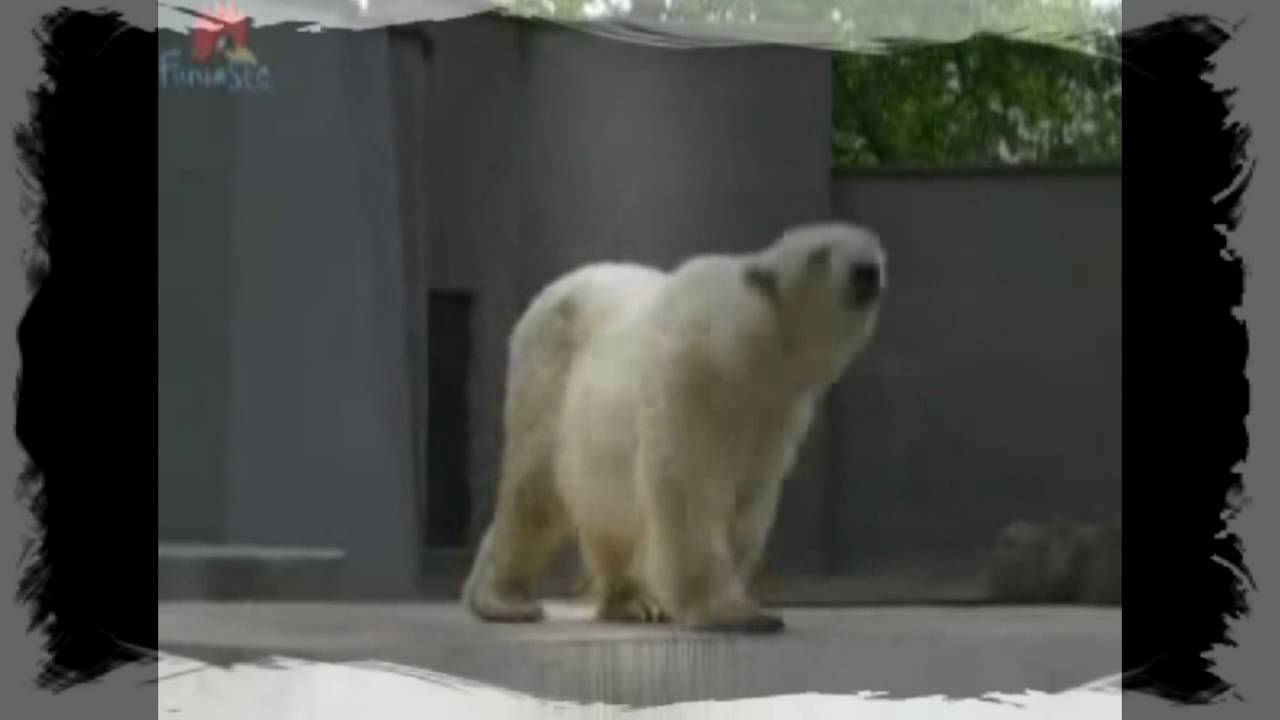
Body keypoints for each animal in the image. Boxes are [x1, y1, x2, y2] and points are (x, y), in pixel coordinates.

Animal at [462, 221, 887, 633]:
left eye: (876, 249)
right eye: (820, 254)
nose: (868, 271)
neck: (745, 354)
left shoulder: (775, 416)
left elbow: (749, 500)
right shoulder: (691, 381)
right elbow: (686, 489)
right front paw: (734, 613)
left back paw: (632, 602)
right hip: (546, 382)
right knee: (533, 491)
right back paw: (505, 601)